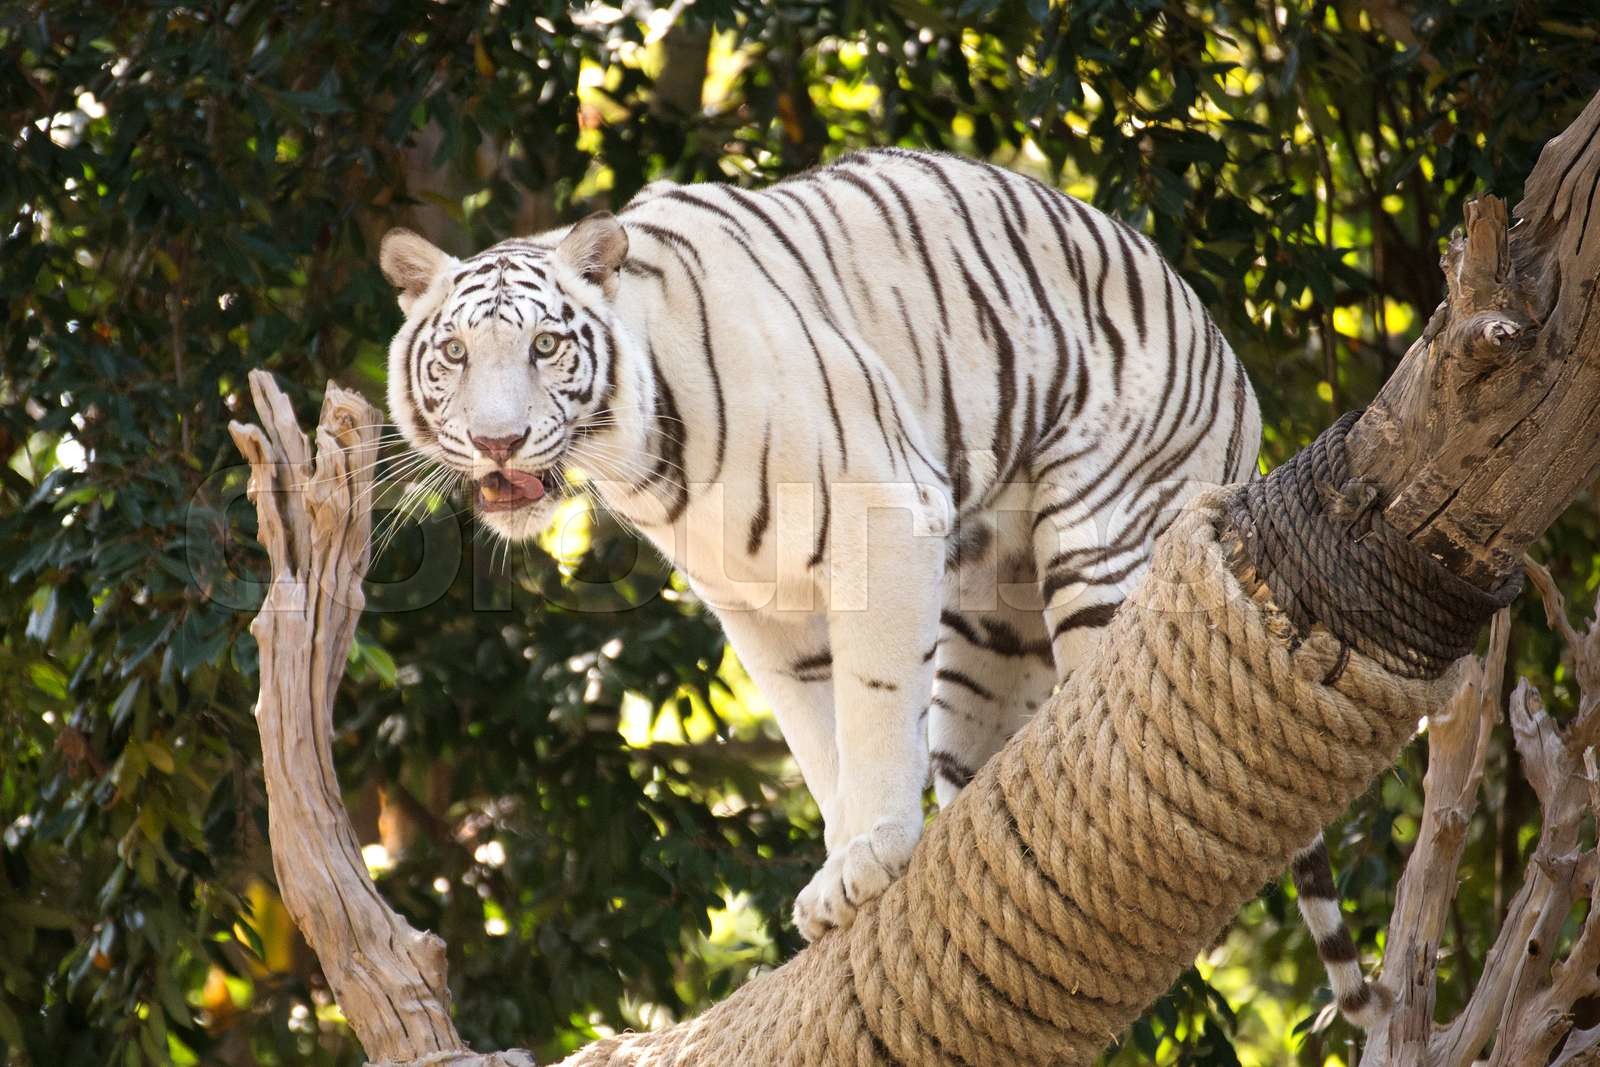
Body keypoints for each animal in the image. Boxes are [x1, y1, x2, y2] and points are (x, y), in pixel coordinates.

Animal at [378, 147, 1384, 1027]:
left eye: (547, 345)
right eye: (455, 354)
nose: (499, 441)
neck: (646, 455)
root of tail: (1228, 356)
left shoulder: (884, 518)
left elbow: (871, 707)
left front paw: (872, 852)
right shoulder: (758, 604)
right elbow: (816, 736)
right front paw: (843, 870)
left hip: (1109, 541)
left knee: (1118, 717)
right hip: (991, 627)